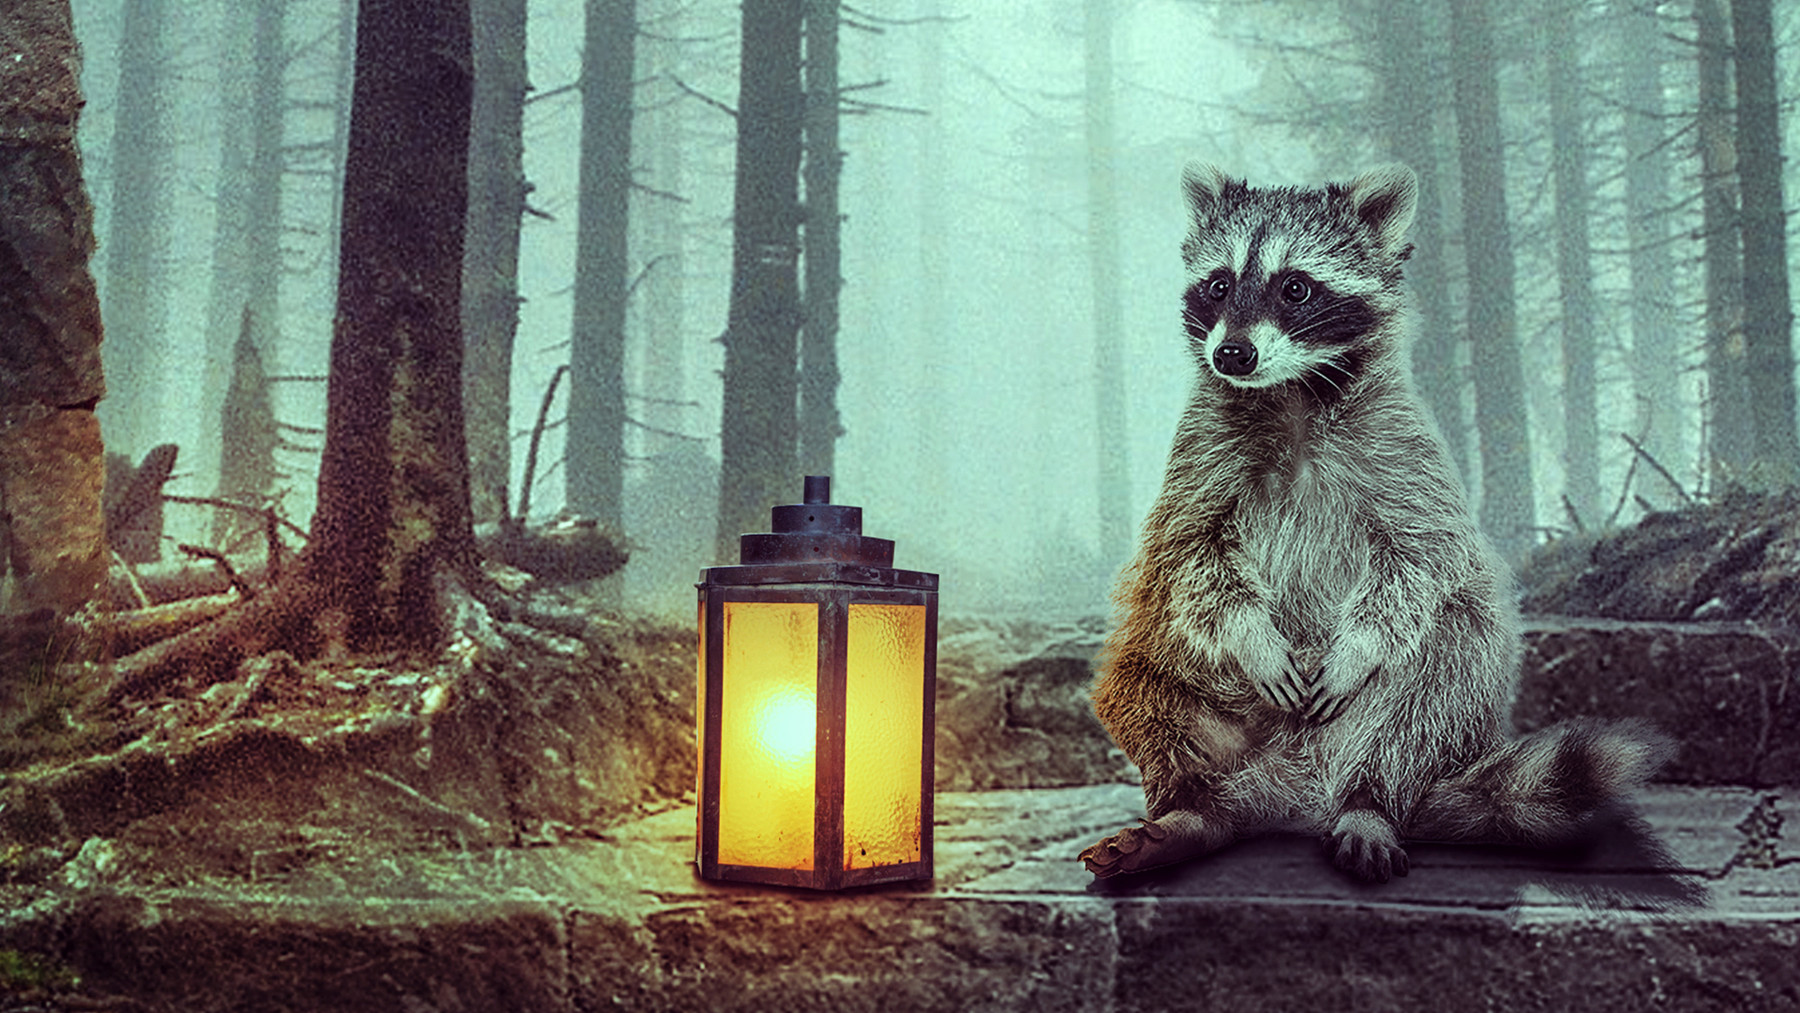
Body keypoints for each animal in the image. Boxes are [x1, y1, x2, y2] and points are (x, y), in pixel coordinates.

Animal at [1079, 164, 1670, 882]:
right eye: (1219, 284)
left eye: (1295, 286)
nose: (1233, 353)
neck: (1292, 392)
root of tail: (1296, 789)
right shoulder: (1200, 451)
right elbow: (1189, 549)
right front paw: (1253, 634)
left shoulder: (1400, 444)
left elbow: (1425, 553)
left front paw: (1358, 647)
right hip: (1184, 675)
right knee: (1135, 676)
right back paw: (1192, 808)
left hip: (1424, 711)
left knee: (1448, 658)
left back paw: (1370, 802)